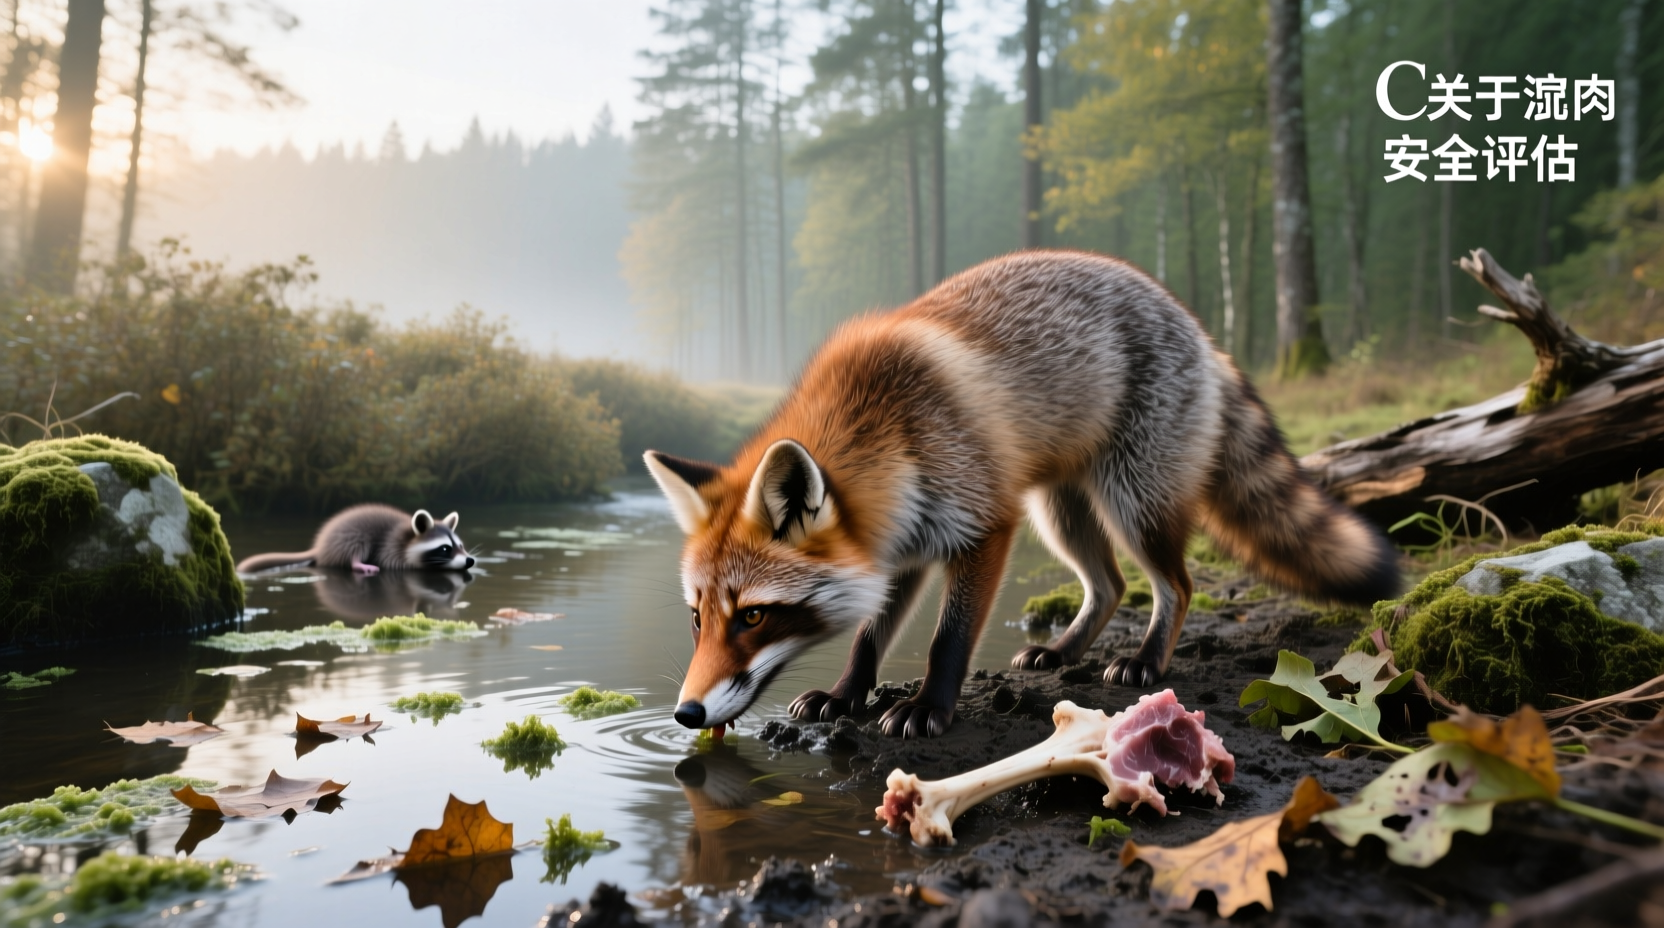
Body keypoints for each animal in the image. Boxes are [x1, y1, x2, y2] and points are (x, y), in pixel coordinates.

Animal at [235, 505, 475, 575]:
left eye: (461, 546)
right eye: (445, 549)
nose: (470, 560)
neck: (409, 536)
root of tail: (321, 547)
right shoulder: (389, 548)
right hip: (352, 535)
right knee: (355, 550)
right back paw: (359, 563)